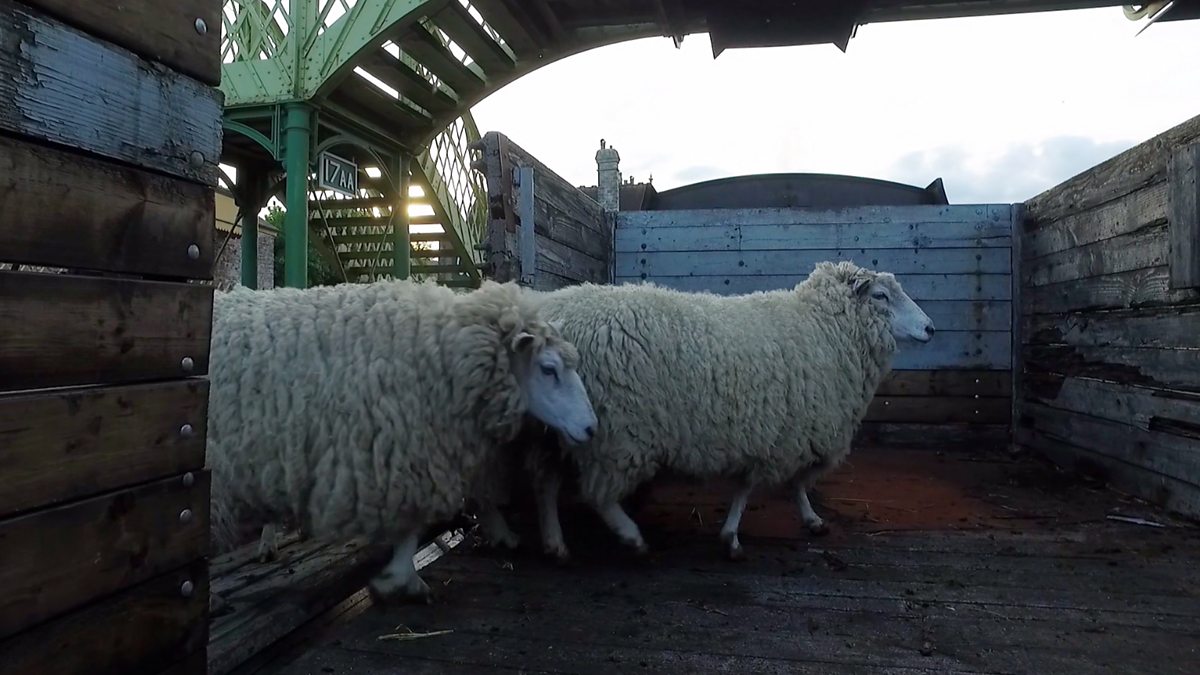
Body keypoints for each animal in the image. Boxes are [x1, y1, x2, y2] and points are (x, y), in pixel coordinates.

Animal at [205, 278, 598, 603]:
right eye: (548, 369)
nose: (591, 428)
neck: (442, 356)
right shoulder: (398, 461)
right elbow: (411, 527)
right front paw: (400, 580)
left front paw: (400, 577)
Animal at [476, 261, 934, 562]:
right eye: (881, 296)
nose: (931, 328)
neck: (824, 329)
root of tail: (549, 310)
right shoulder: (781, 432)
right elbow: (760, 485)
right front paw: (733, 536)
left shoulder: (779, 430)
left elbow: (788, 484)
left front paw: (808, 518)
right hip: (616, 431)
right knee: (598, 494)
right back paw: (631, 536)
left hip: (557, 428)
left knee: (545, 483)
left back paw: (555, 542)